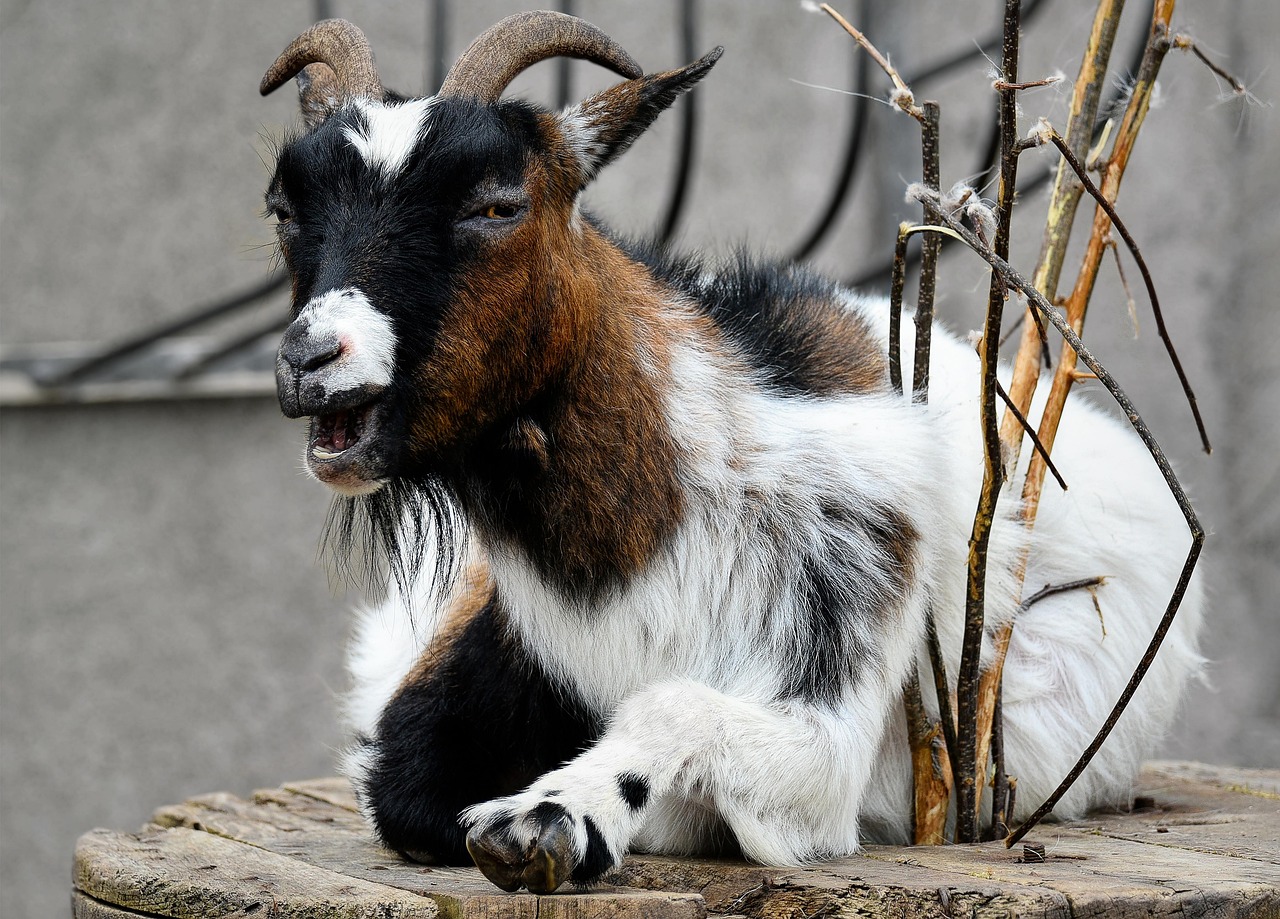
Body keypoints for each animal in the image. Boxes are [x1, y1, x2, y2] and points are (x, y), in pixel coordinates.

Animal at [260, 12, 1204, 894]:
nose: (310, 357)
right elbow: (401, 786)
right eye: (284, 208)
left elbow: (676, 711)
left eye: (497, 202)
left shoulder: (837, 696)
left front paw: (549, 818)